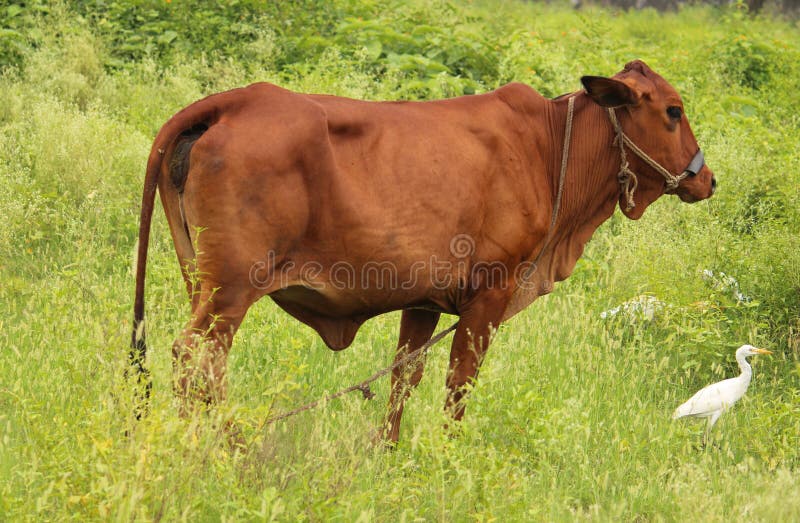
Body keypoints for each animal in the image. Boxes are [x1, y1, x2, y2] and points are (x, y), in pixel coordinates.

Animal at [131, 60, 715, 444]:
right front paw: (448, 458)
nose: (706, 179)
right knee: (193, 358)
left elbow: (402, 380)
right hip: (231, 288)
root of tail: (234, 101)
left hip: (201, 281)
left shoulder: (424, 301)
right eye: (673, 111)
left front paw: (387, 453)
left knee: (207, 365)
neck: (550, 150)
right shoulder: (489, 295)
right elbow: (459, 386)